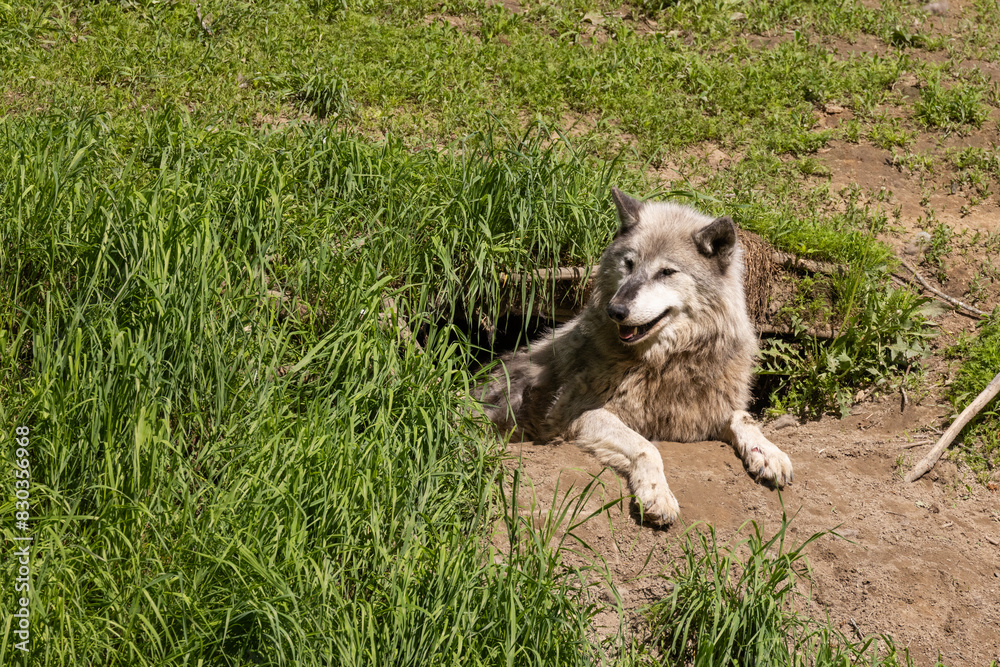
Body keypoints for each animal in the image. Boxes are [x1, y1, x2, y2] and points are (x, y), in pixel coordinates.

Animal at [481, 188, 793, 525]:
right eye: (629, 264)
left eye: (667, 272)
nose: (615, 310)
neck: (666, 363)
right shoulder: (578, 416)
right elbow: (646, 448)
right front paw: (657, 494)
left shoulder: (708, 412)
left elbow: (743, 417)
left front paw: (769, 453)